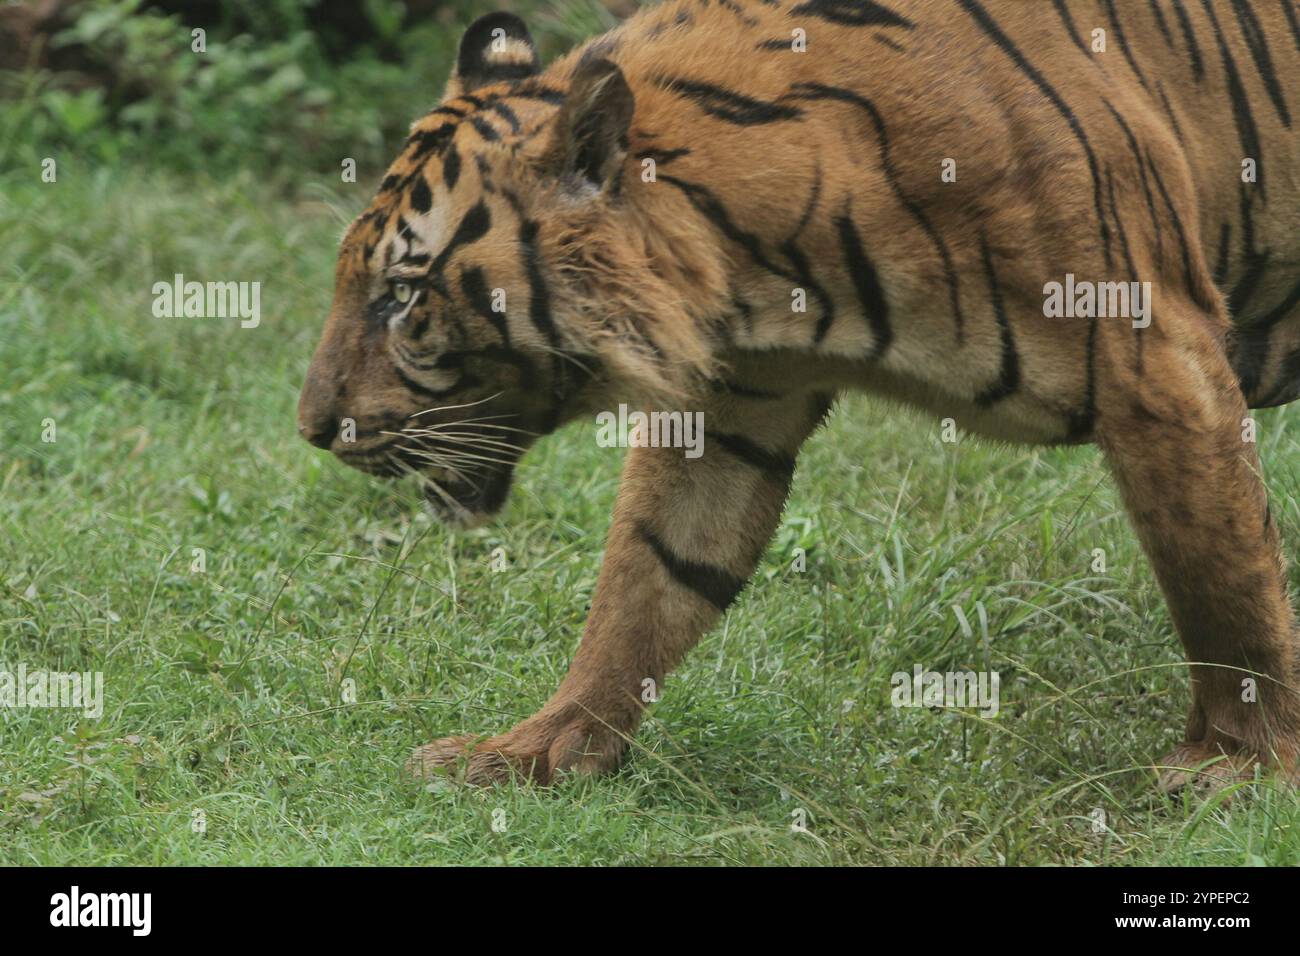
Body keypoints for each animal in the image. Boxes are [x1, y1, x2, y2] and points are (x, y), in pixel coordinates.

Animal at [298, 0, 1300, 790]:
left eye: (401, 296)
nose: (312, 428)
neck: (762, 272)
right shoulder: (731, 410)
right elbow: (646, 583)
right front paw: (540, 750)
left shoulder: (1162, 365)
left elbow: (1222, 581)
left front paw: (1237, 765)